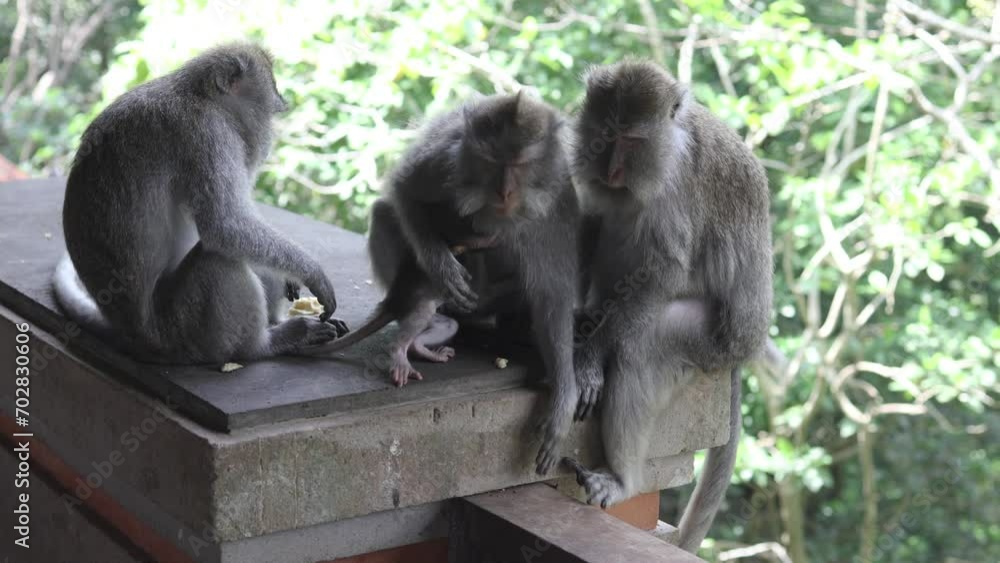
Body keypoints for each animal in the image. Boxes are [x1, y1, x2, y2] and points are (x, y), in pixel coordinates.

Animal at [52, 43, 349, 365]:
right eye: (269, 112)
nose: (271, 135)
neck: (199, 95)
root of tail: (138, 336)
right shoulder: (208, 134)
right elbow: (226, 226)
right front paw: (313, 273)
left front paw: (292, 279)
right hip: (183, 327)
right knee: (218, 258)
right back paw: (264, 344)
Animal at [305, 94, 581, 439]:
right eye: (491, 162)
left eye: (519, 165)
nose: (504, 191)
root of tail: (395, 298)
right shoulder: (443, 161)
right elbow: (406, 190)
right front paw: (442, 267)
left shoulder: (559, 197)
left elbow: (552, 292)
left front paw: (563, 401)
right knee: (385, 211)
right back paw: (404, 343)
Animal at [562, 60, 773, 553]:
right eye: (607, 133)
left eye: (632, 140)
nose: (613, 170)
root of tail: (746, 350)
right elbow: (592, 219)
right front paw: (579, 328)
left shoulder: (675, 192)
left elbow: (662, 273)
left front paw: (591, 356)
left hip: (713, 342)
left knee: (643, 345)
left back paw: (623, 480)